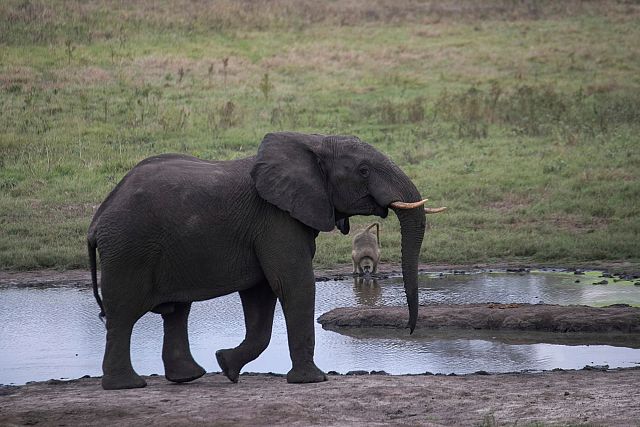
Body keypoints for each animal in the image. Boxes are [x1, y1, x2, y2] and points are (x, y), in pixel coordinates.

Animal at [88, 131, 431, 390]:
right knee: (123, 314)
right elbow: (294, 284)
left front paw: (226, 364)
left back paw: (188, 377)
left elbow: (261, 295)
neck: (312, 142)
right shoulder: (275, 220)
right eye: (363, 171)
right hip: (128, 250)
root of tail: (98, 217)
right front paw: (312, 381)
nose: (410, 330)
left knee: (176, 312)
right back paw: (127, 385)